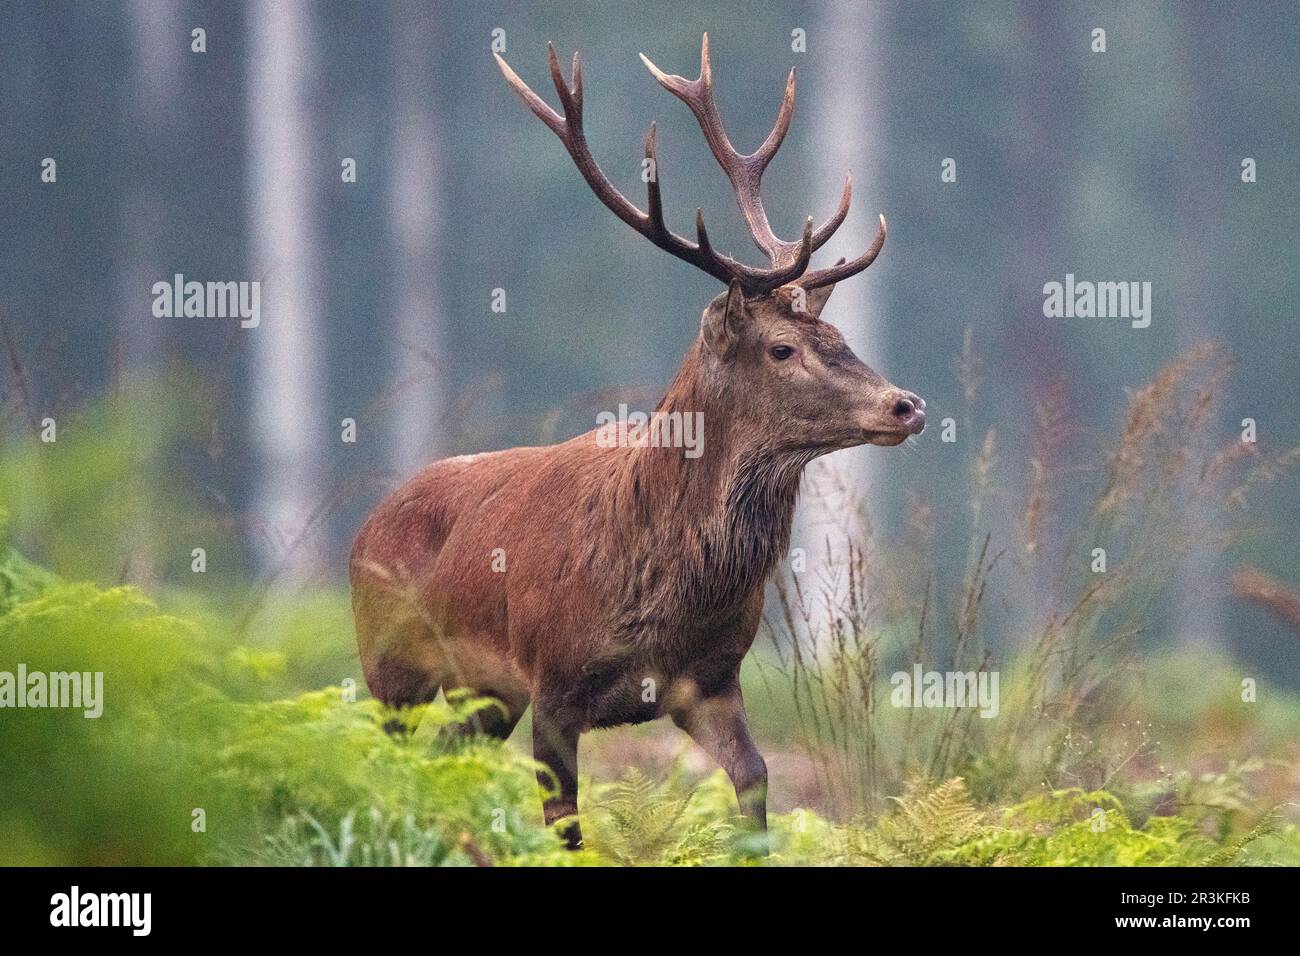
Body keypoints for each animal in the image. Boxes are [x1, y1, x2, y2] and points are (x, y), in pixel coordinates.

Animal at [350, 35, 925, 850]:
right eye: (783, 349)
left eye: (839, 335)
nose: (906, 405)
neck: (663, 588)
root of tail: (365, 525)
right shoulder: (553, 683)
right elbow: (566, 828)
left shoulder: (710, 682)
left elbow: (754, 785)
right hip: (392, 666)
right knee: (384, 763)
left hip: (482, 694)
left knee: (437, 766)